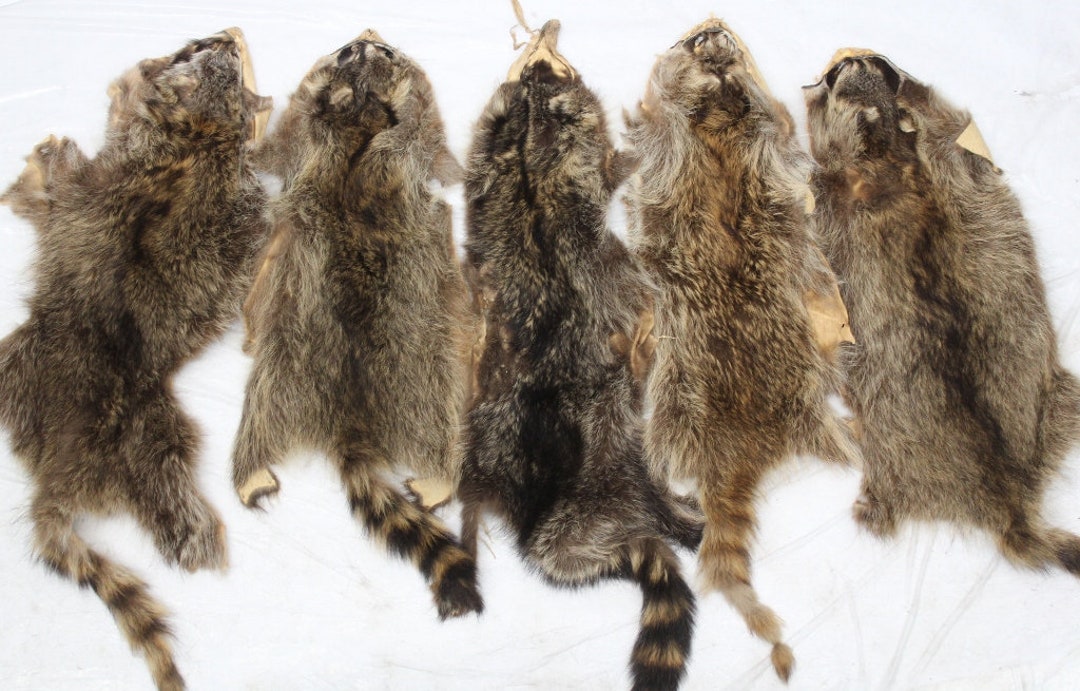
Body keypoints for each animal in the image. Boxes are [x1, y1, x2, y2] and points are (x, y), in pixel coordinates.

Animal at [0, 29, 270, 690]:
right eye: (197, 48)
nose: (230, 33)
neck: (199, 130)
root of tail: (61, 466)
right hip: (144, 436)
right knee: (179, 514)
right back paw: (200, 535)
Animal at [230, 31, 483, 619]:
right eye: (346, 52)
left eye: (382, 53)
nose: (366, 36)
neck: (363, 108)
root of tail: (352, 428)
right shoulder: (312, 139)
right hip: (342, 384)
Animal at [457, 20, 704, 690]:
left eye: (536, 72)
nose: (544, 46)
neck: (529, 165)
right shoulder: (589, 218)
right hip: (607, 472)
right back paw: (683, 520)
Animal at [624, 19, 861, 681]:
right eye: (696, 44)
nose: (709, 29)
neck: (718, 112)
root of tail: (740, 445)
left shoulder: (696, 139)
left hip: (673, 403)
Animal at [804, 52, 1080, 574]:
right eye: (863, 70)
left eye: (833, 83)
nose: (853, 57)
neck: (889, 153)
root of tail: (1010, 497)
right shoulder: (953, 159)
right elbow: (955, 129)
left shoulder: (834, 207)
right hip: (1055, 402)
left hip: (897, 460)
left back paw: (872, 503)